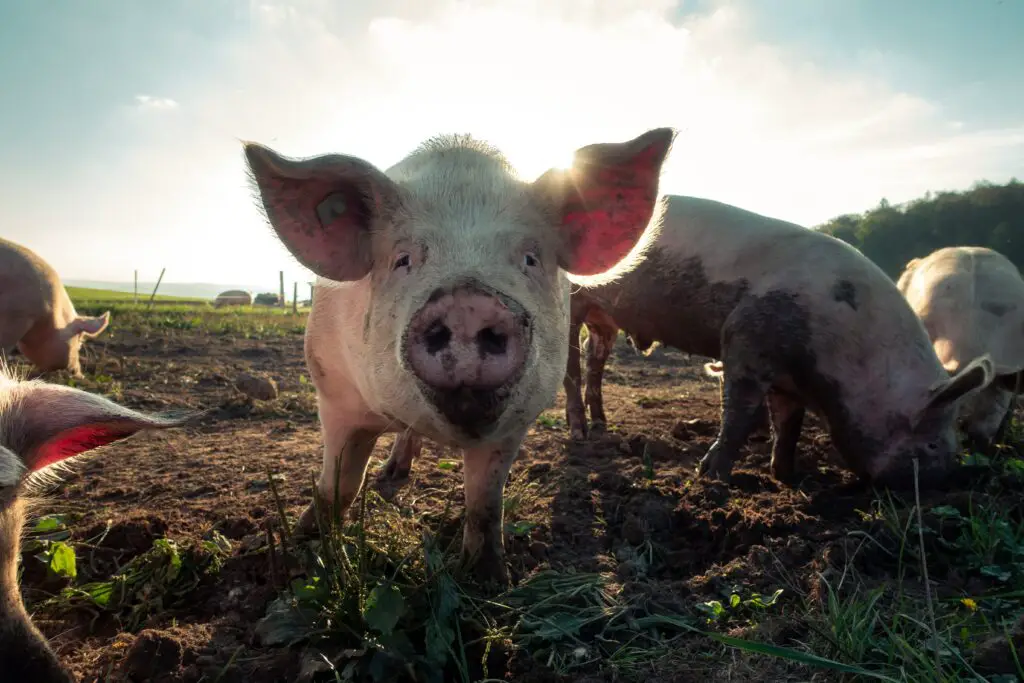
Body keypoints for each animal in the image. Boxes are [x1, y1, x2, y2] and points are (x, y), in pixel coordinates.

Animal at [243, 128, 675, 585]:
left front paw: (488, 579)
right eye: (403, 259)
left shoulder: (517, 421)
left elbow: (485, 501)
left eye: (530, 258)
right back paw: (391, 474)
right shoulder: (334, 391)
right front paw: (303, 548)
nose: (468, 302)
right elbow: (339, 484)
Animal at [558, 195, 995, 487]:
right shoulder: (744, 339)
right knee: (570, 368)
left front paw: (788, 477)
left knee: (594, 359)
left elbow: (789, 424)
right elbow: (739, 412)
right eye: (932, 444)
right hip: (572, 303)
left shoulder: (789, 380)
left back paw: (602, 425)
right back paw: (579, 434)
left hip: (604, 319)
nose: (948, 482)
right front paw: (711, 477)